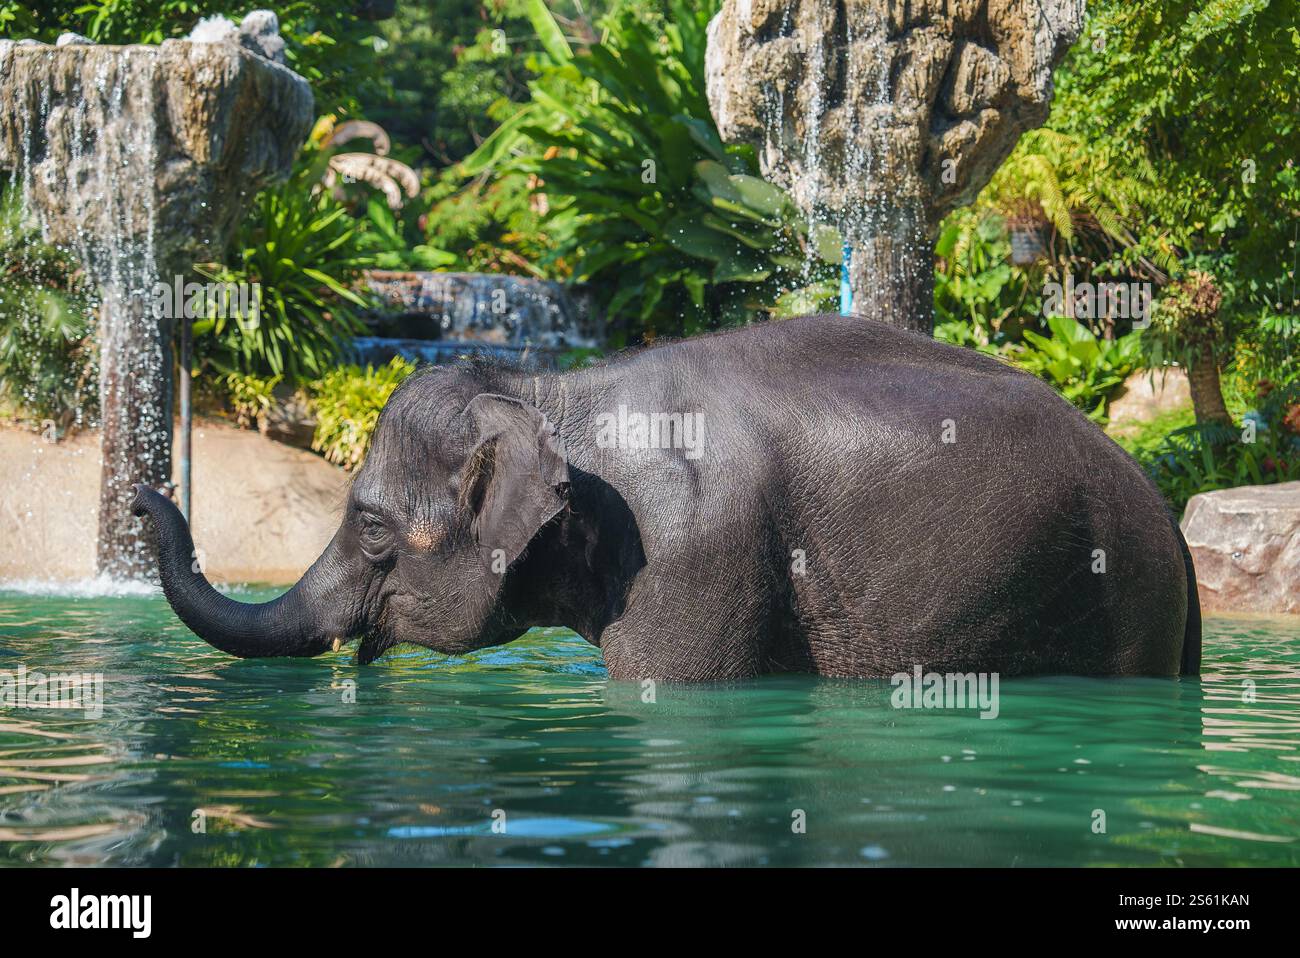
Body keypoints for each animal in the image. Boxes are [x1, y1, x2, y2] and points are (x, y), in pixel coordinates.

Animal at [134, 313, 1201, 680]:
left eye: (367, 525)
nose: (146, 495)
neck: (552, 394)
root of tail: (1167, 511)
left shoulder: (694, 558)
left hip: (1121, 592)